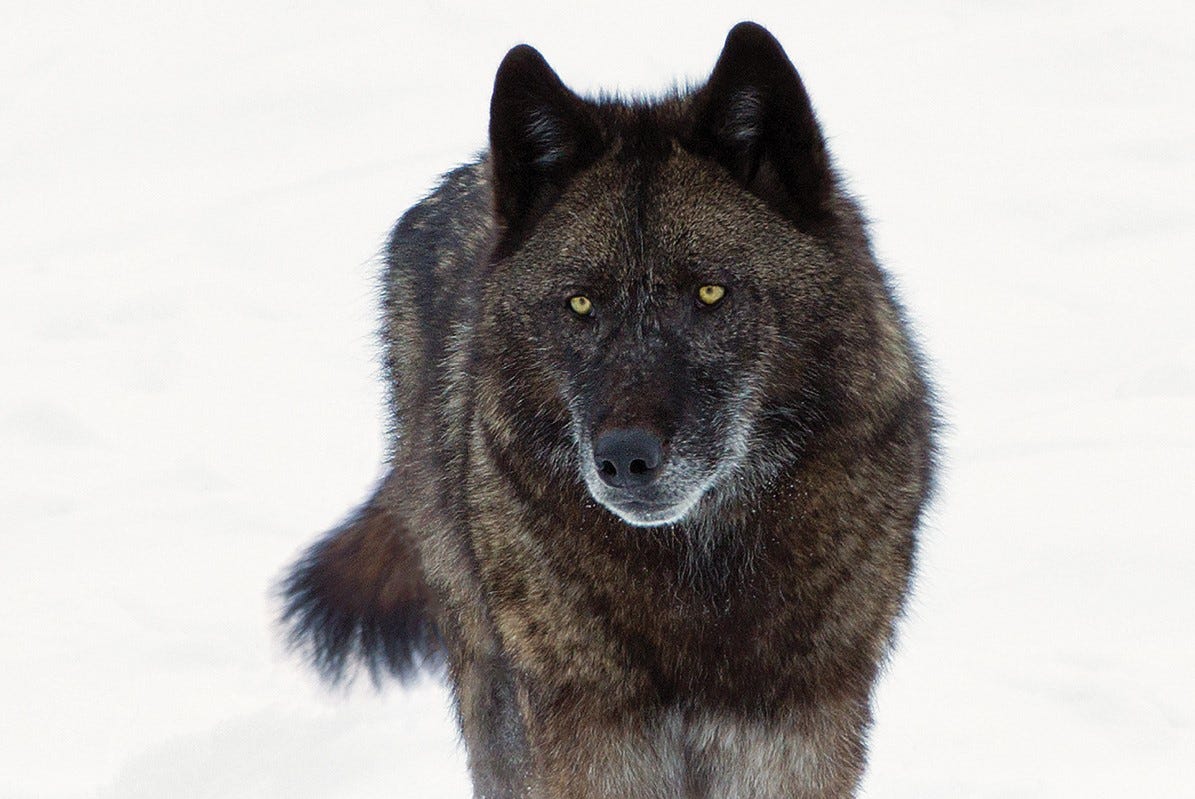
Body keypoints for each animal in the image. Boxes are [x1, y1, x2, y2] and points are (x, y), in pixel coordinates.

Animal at [280, 21, 935, 798]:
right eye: (580, 304)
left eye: (709, 293)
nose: (623, 458)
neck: (697, 583)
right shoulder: (589, 746)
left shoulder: (790, 746)